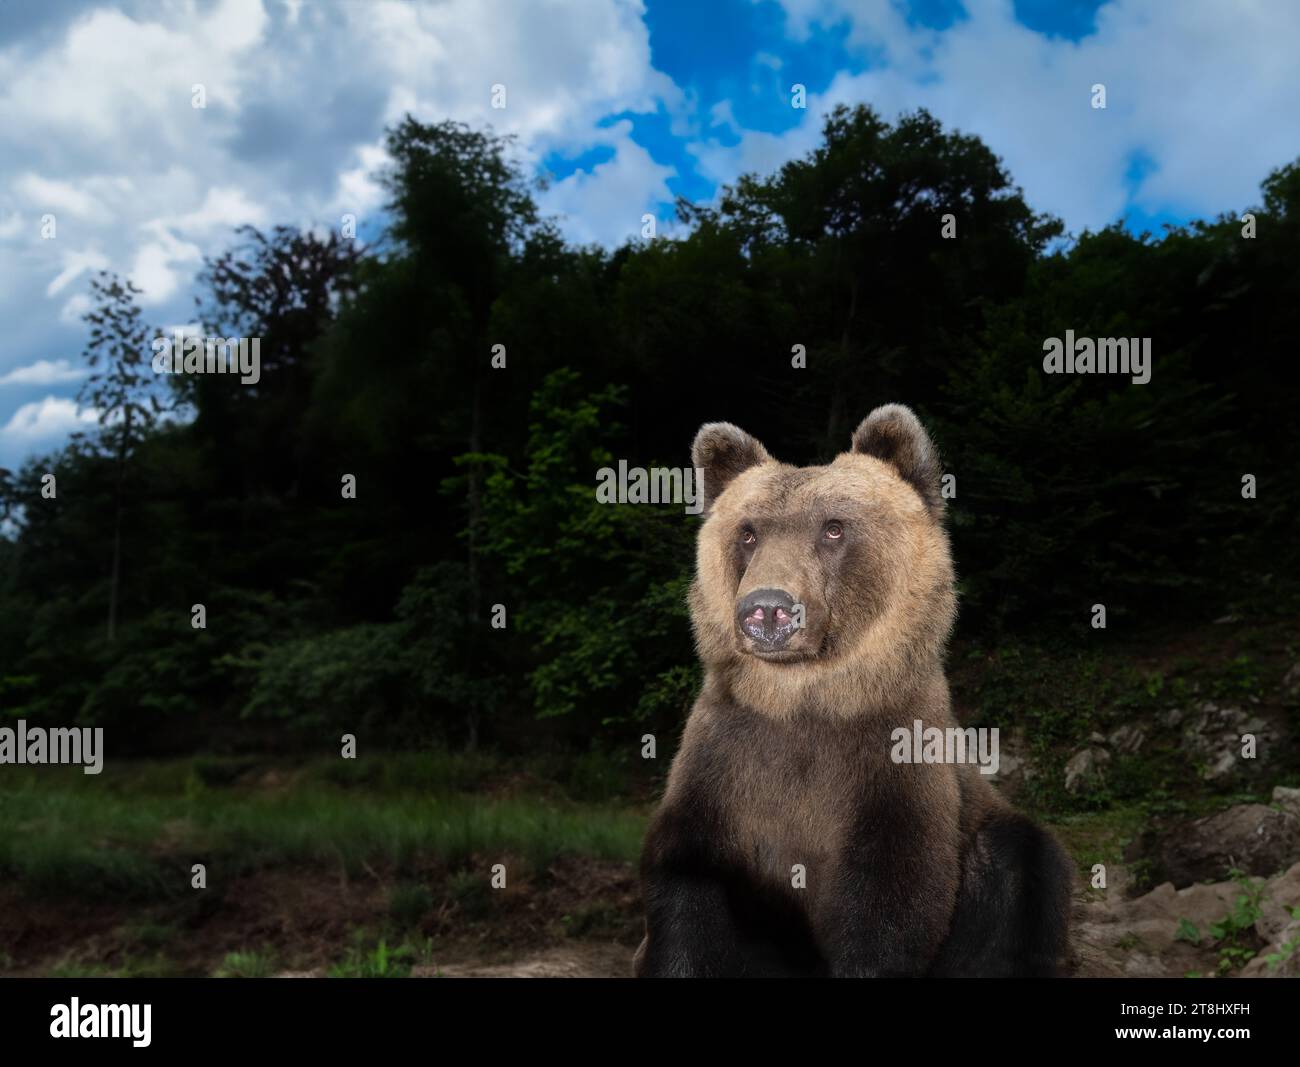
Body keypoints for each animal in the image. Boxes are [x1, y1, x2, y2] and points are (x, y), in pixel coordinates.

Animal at [633, 404, 1074, 978]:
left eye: (834, 528)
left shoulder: (891, 763)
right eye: (748, 533)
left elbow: (891, 904)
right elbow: (689, 891)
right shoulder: (724, 761)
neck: (804, 697)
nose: (767, 609)